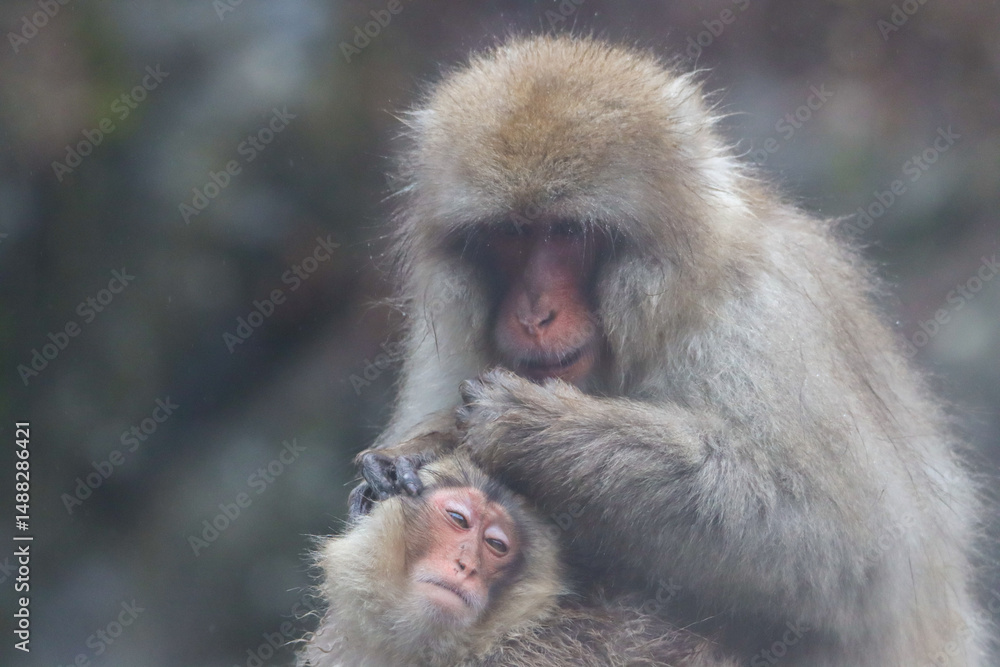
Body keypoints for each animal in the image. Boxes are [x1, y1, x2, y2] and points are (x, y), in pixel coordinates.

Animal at [354, 35, 988, 666]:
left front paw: (531, 428)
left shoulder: (758, 318)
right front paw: (416, 451)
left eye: (567, 232)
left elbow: (845, 552)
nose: (534, 315)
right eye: (509, 234)